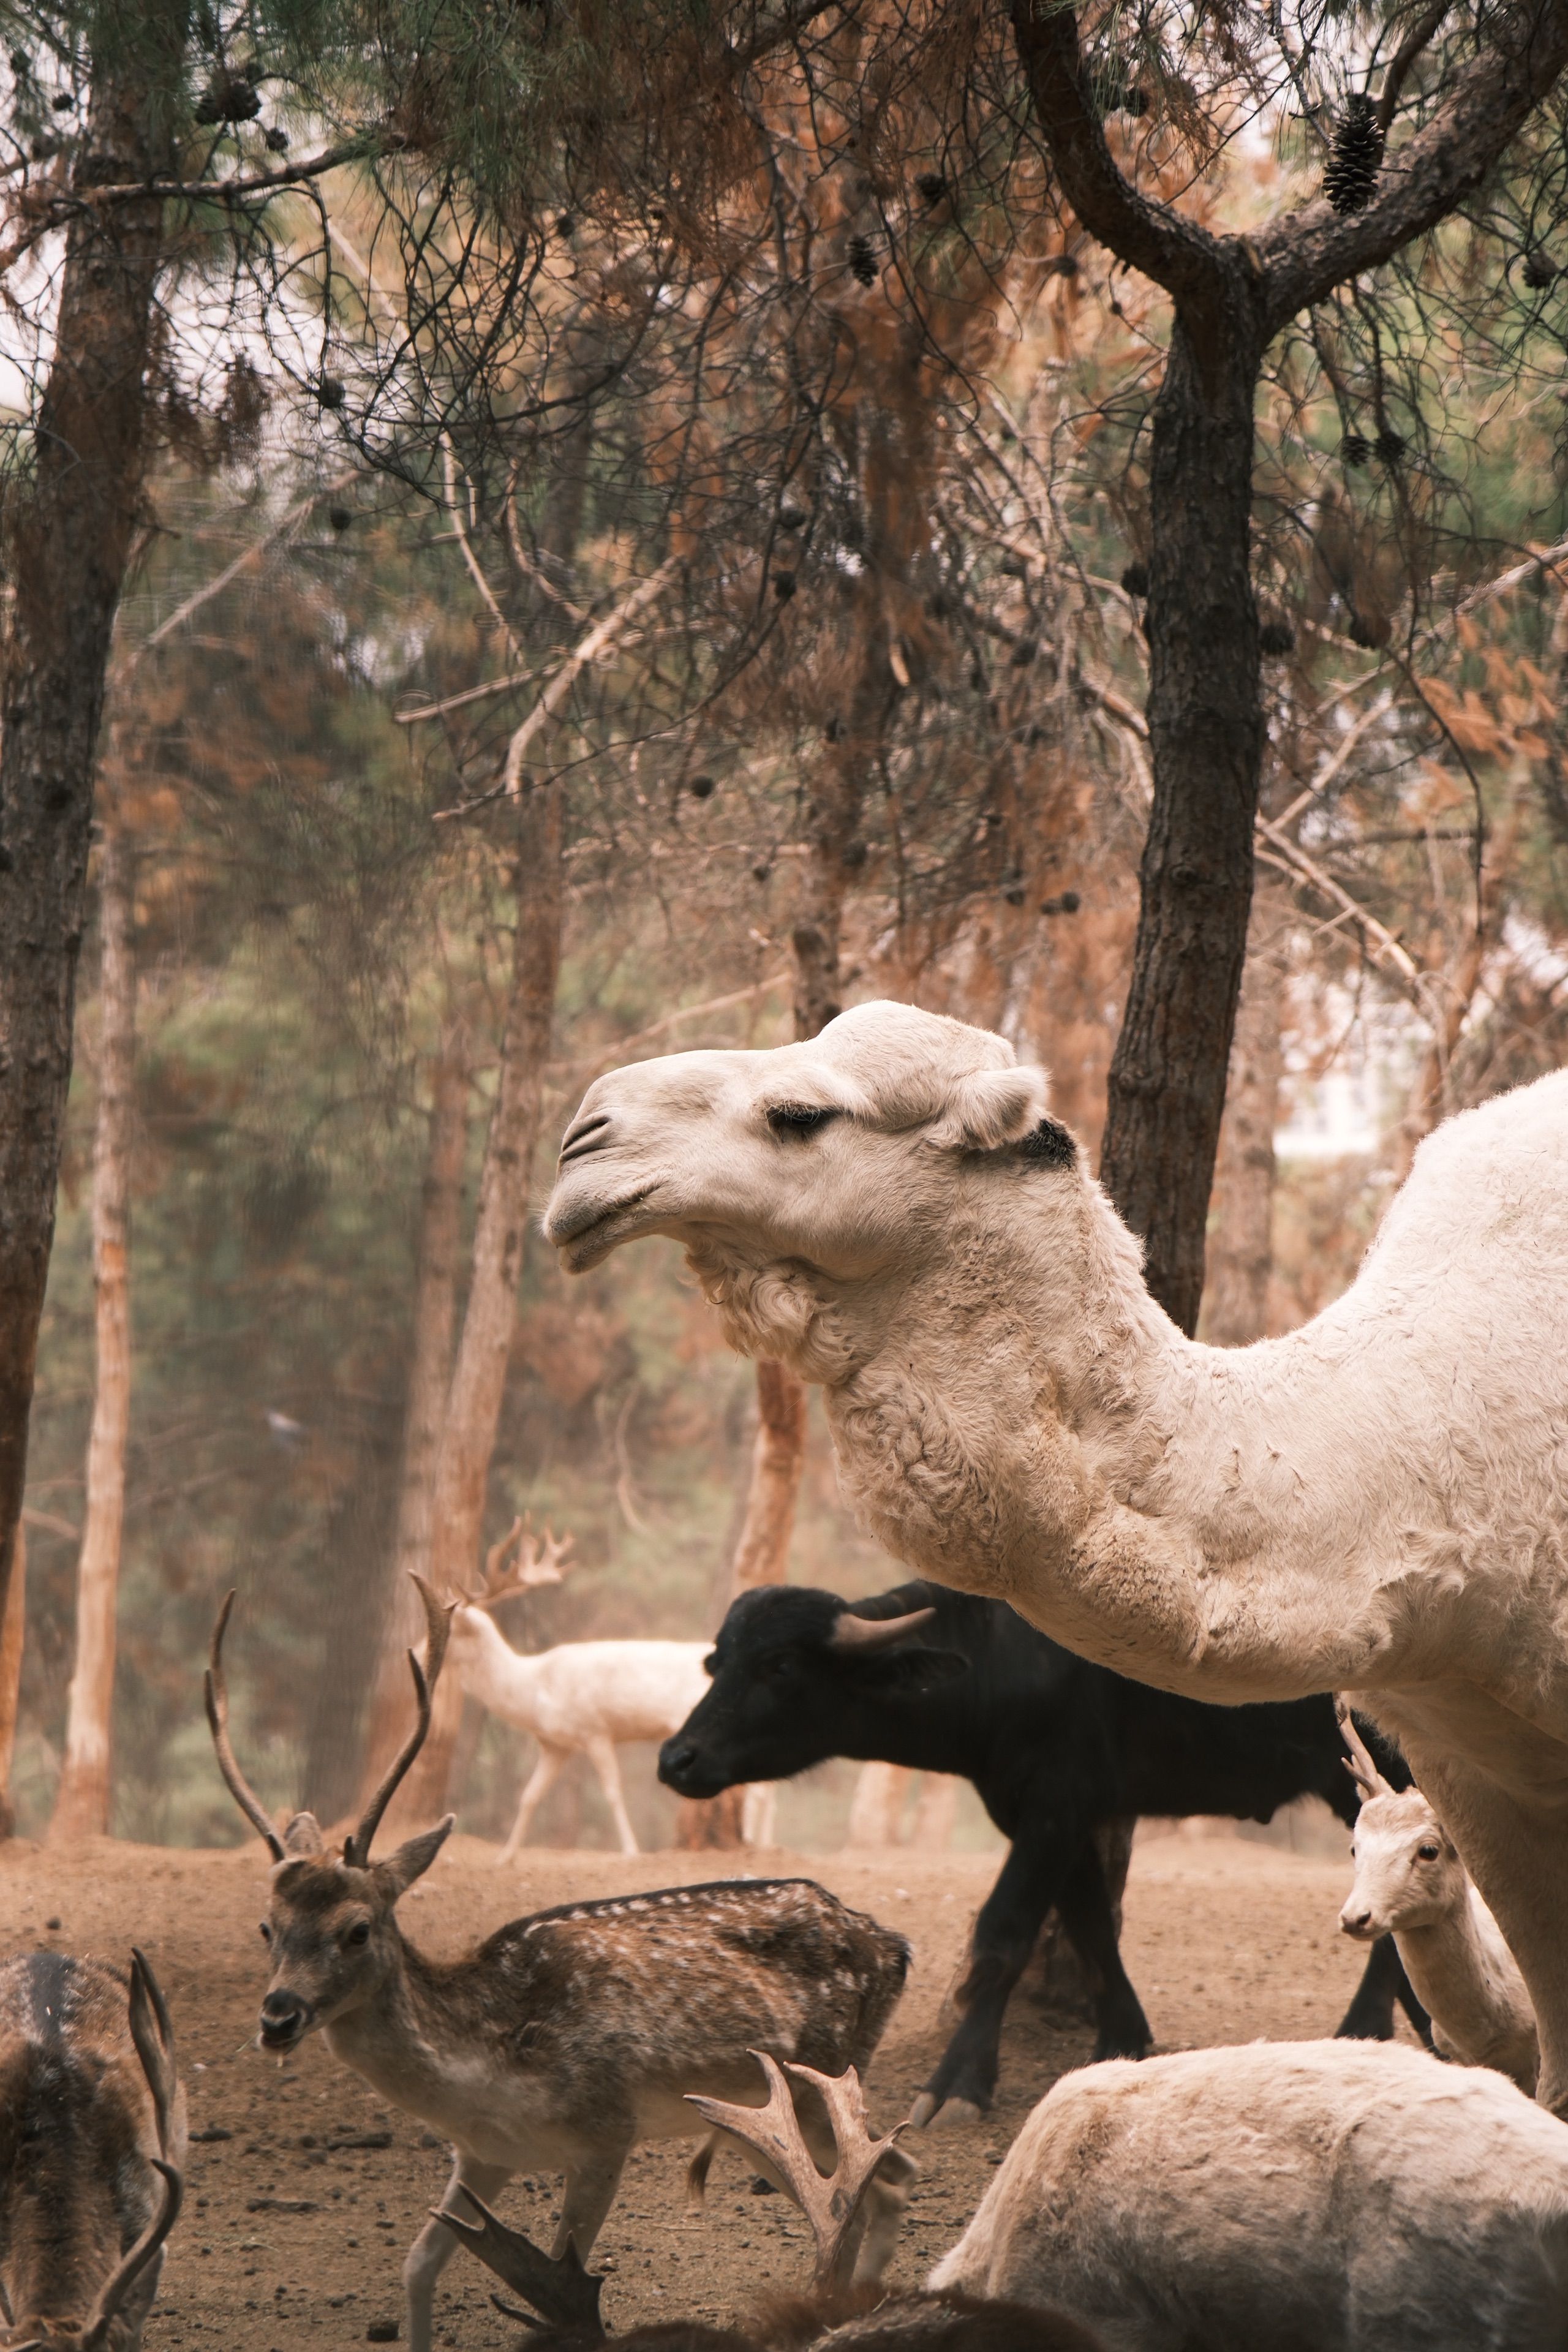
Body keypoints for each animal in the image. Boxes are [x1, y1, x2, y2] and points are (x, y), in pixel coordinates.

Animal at [205, 1574, 917, 2352]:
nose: (278, 2018)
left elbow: (559, 2275)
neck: (483, 2070)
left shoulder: (606, 2132)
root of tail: (894, 1946)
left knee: (877, 2187)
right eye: (267, 1926)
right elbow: (417, 2265)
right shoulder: (482, 2154)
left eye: (357, 1930)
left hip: (821, 2082)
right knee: (894, 2176)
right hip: (768, 2120)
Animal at [542, 1000, 1568, 2111]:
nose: (585, 1139)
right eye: (714, 1660)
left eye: (800, 1114)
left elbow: (1009, 1928)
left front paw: (958, 2087)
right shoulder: (1453, 1751)